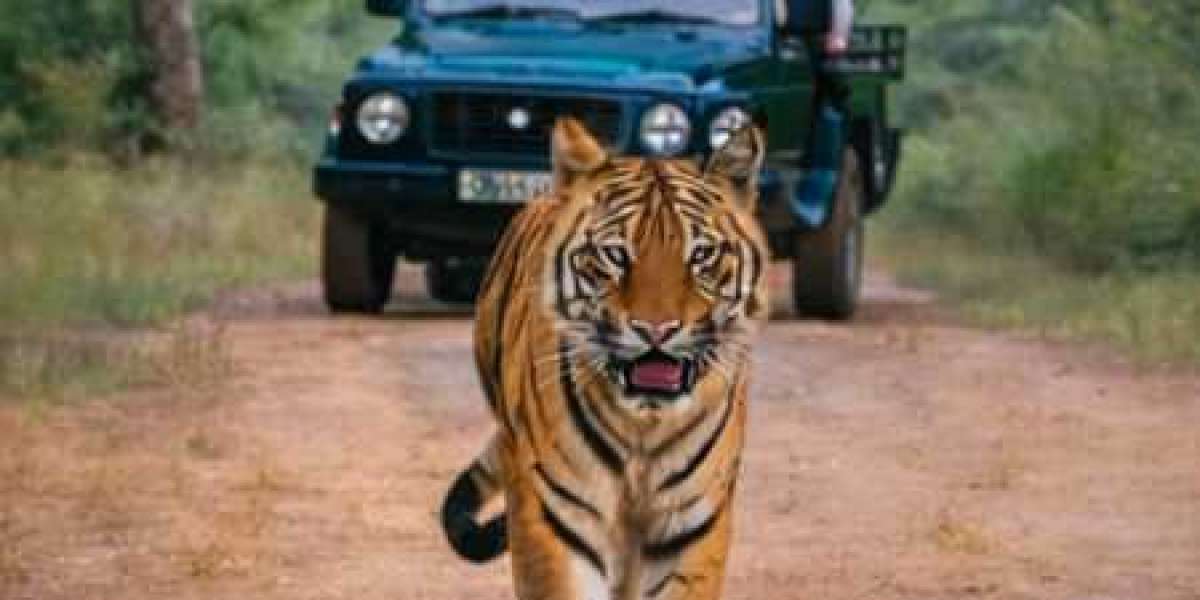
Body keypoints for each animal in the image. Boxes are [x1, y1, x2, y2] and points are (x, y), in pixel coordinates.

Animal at [441, 117, 771, 600]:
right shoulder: (554, 517)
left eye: (702, 255)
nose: (657, 330)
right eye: (615, 254)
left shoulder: (692, 525)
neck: (644, 430)